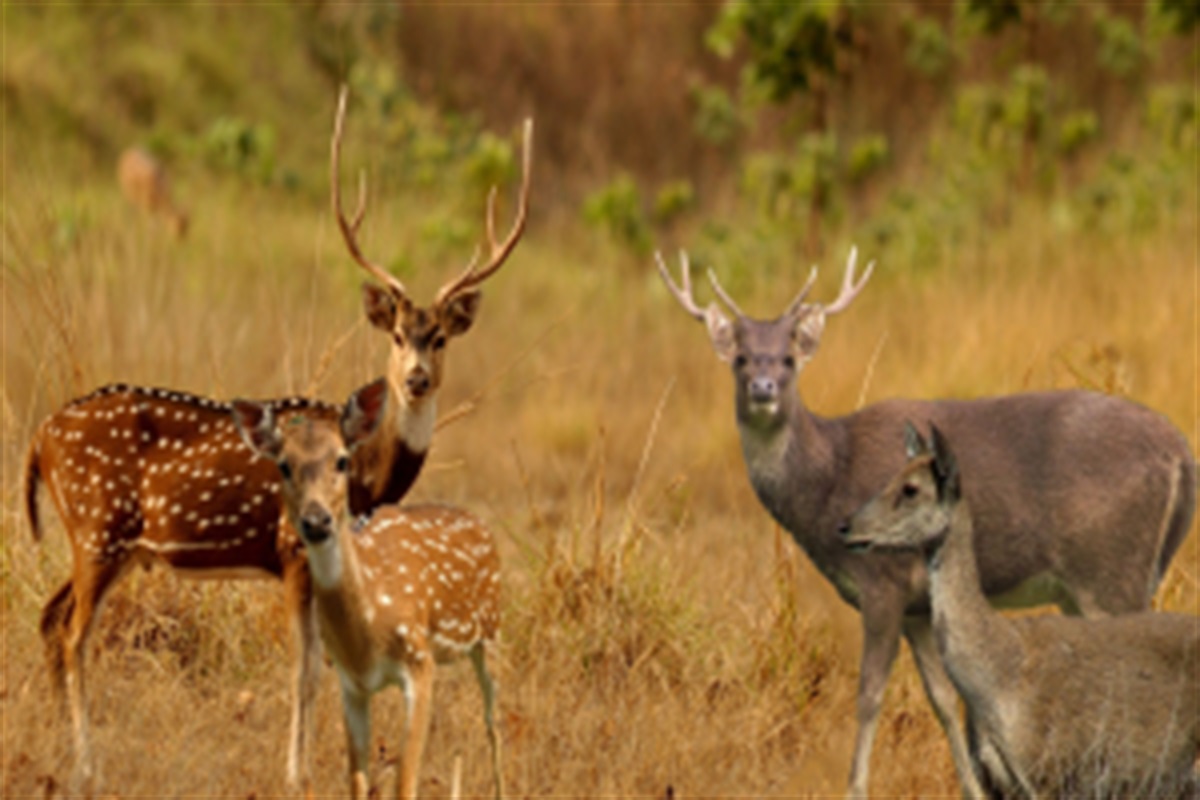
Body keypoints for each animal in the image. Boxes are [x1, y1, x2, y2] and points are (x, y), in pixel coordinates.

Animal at [231, 378, 503, 800]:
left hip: (491, 632)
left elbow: (405, 780)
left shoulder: (418, 661)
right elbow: (357, 780)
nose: (316, 520)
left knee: (495, 723)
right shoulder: (351, 682)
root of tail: (481, 524)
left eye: (343, 460)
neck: (369, 628)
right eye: (284, 465)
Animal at [842, 423, 1200, 799]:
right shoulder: (998, 784)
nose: (846, 527)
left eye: (910, 489)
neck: (999, 681)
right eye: (889, 477)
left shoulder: (1052, 772)